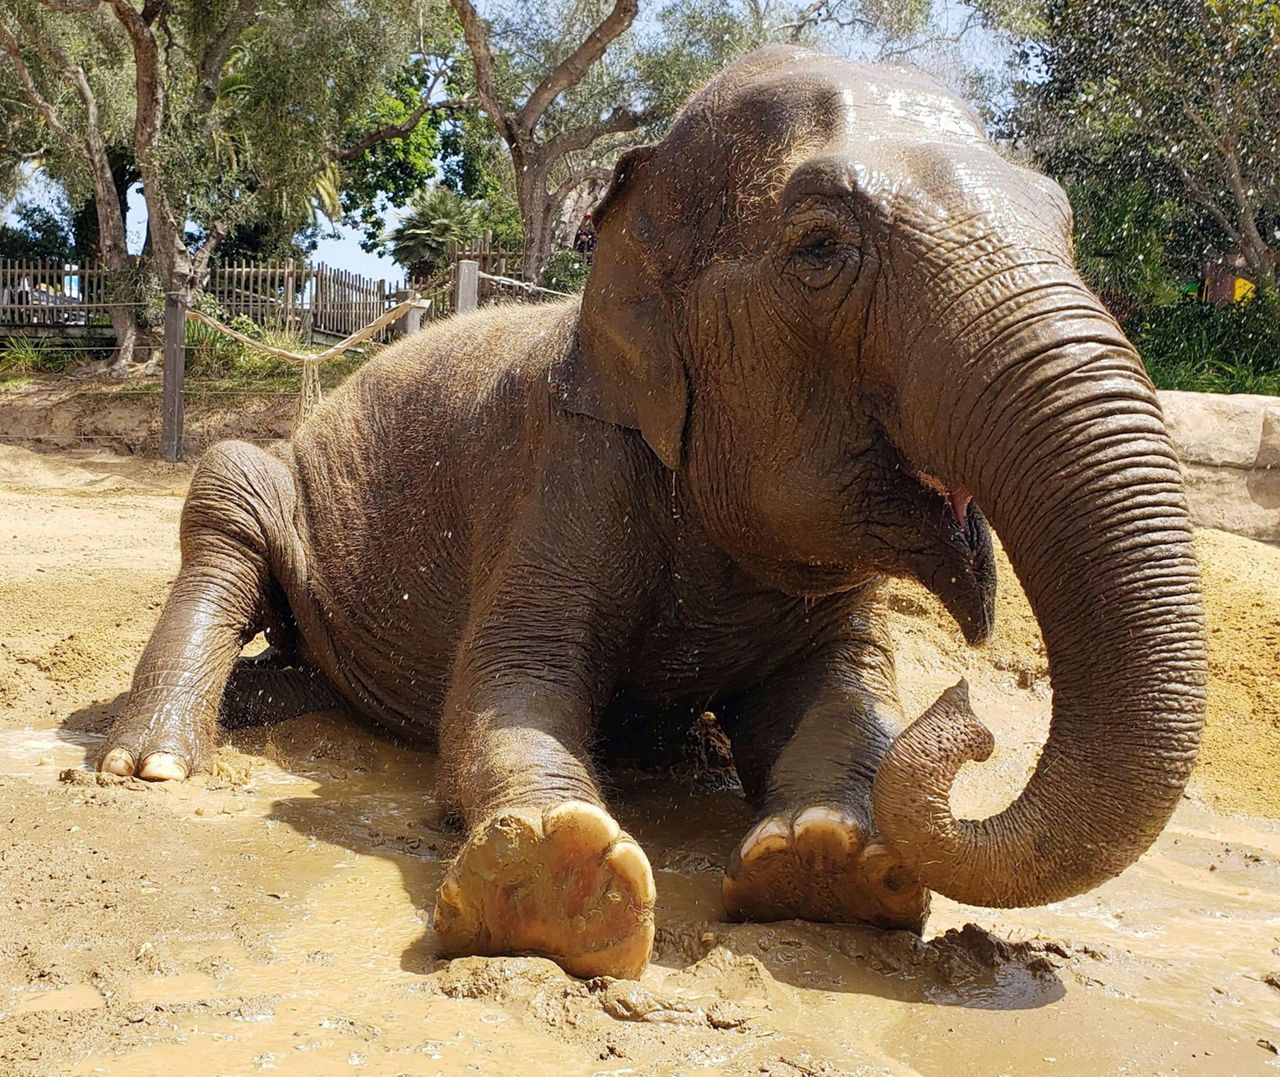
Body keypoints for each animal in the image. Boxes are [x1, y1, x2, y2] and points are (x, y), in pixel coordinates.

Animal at [98, 46, 1207, 981]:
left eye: (1064, 221)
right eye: (819, 248)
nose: (969, 715)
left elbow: (838, 697)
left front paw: (827, 862)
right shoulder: (571, 460)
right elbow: (508, 687)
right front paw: (558, 872)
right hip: (272, 476)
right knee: (228, 497)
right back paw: (152, 764)